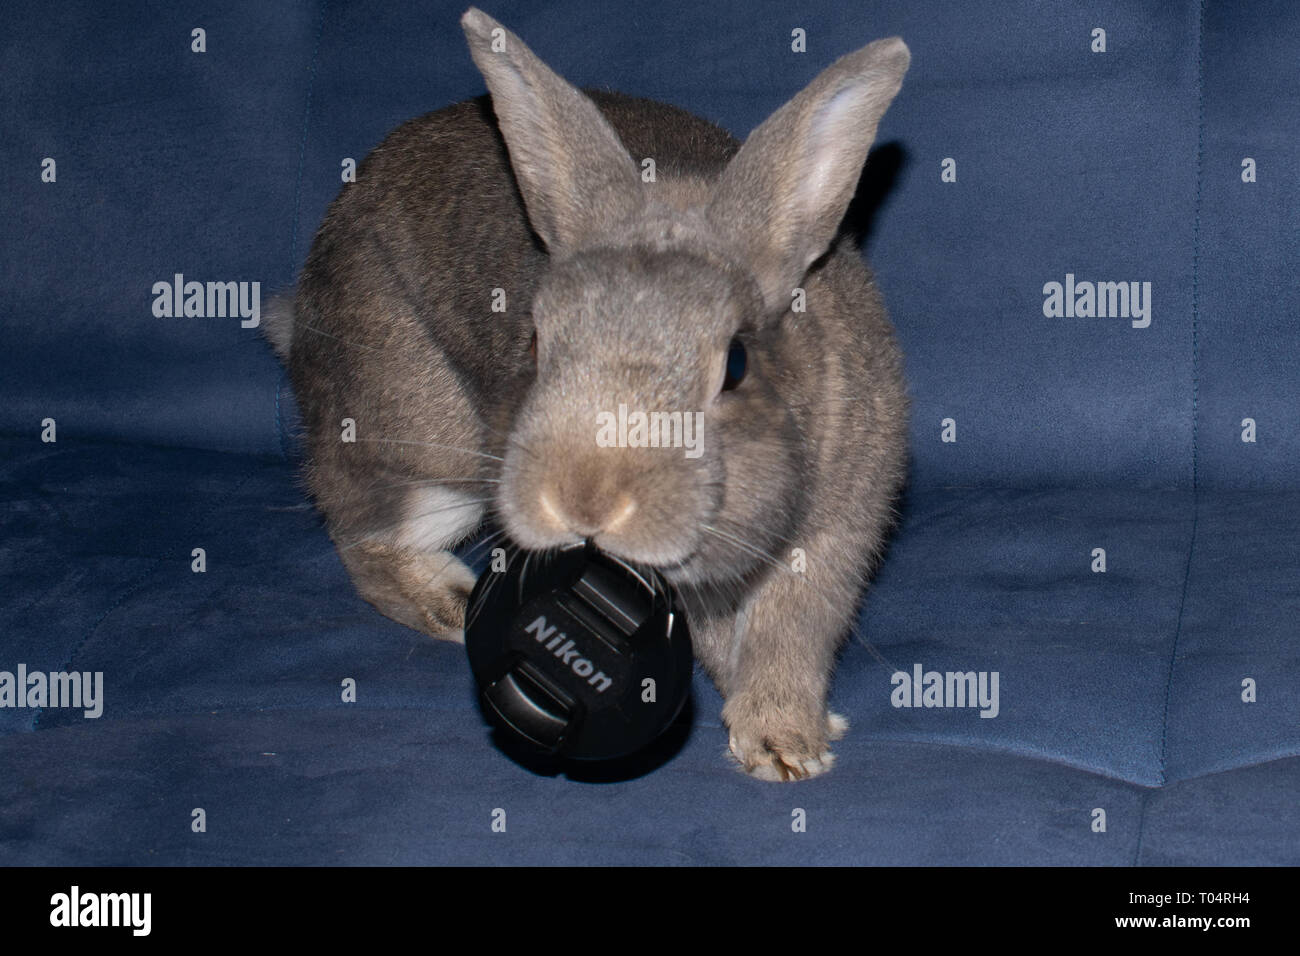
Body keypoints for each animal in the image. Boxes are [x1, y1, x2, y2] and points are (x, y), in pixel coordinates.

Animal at [265, 7, 910, 781]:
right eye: (537, 343)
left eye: (736, 365)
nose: (584, 501)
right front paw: (767, 733)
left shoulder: (838, 532)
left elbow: (793, 634)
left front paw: (786, 745)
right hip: (428, 449)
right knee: (361, 531)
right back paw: (452, 602)